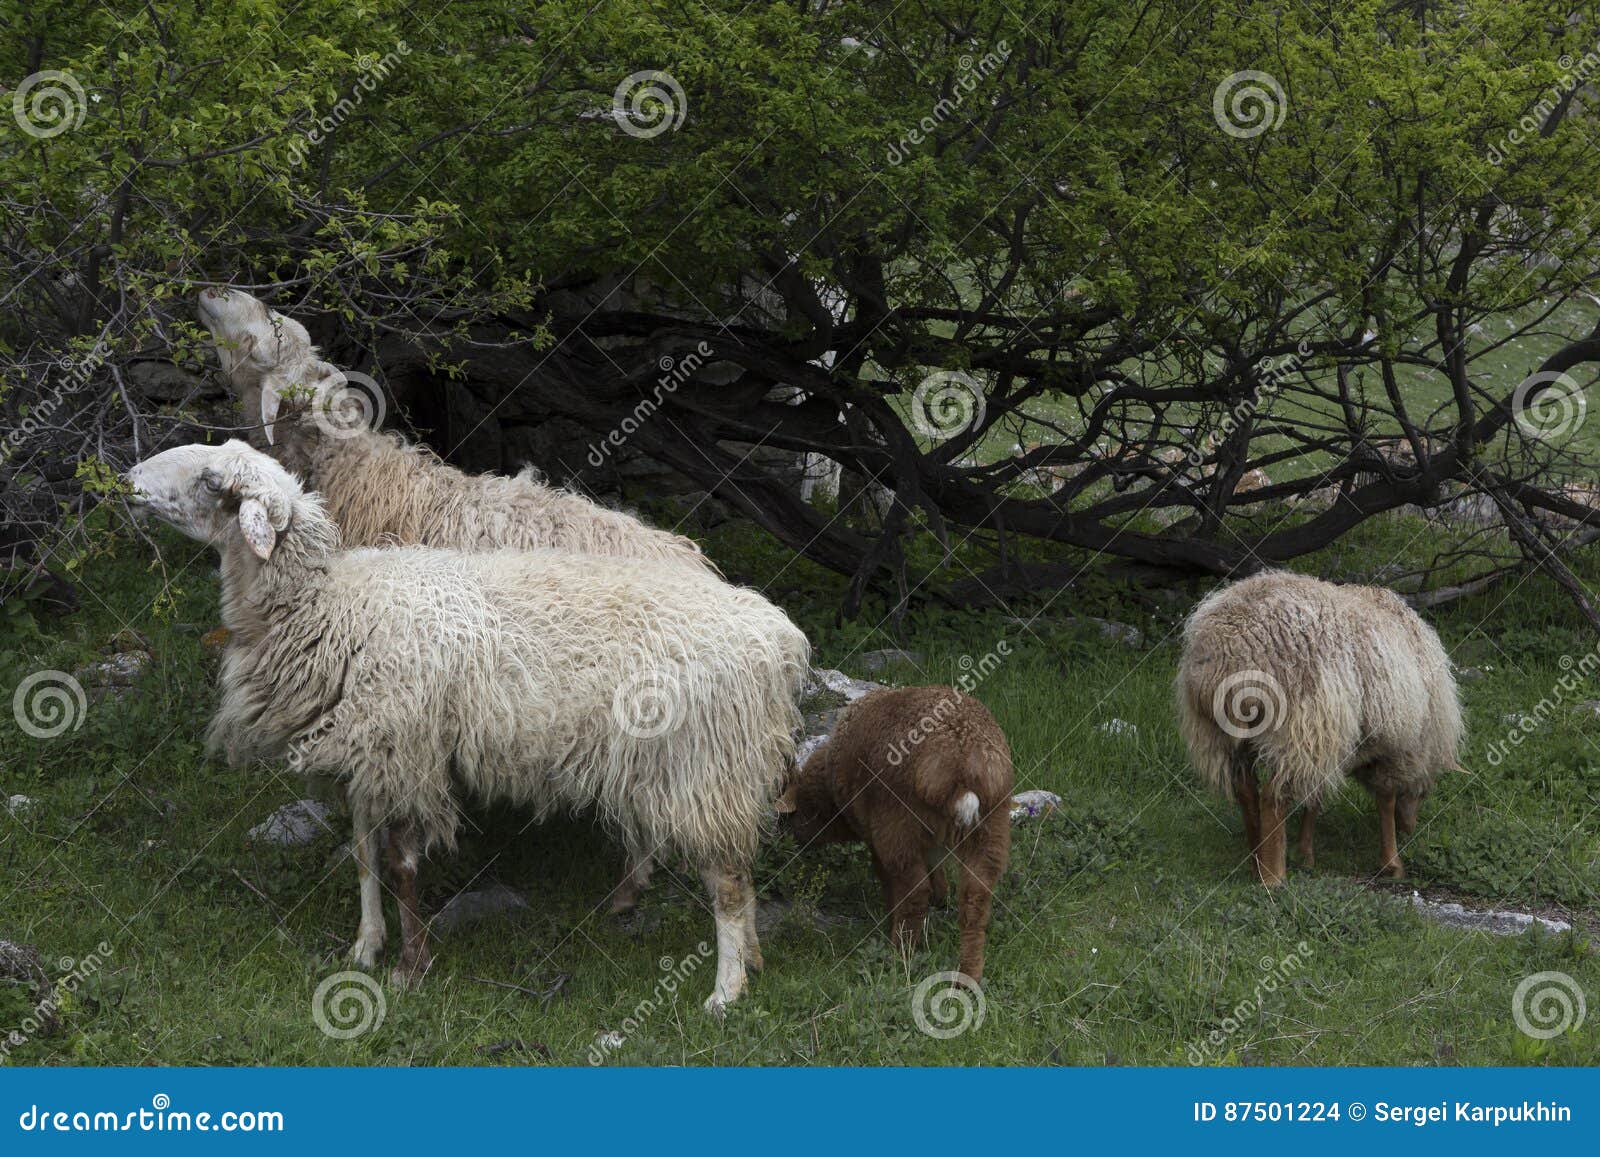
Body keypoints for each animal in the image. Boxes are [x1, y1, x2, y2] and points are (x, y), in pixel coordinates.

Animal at [126, 439, 809, 1011]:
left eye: (211, 480)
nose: (128, 480)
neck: (333, 606)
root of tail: (775, 636)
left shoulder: (405, 749)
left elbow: (401, 864)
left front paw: (410, 967)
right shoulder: (370, 752)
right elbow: (364, 856)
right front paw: (365, 946)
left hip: (702, 764)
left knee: (725, 880)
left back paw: (725, 991)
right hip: (714, 768)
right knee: (738, 864)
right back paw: (748, 956)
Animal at [776, 686, 1012, 983]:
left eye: (799, 812)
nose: (791, 838)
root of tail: (960, 762)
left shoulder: (877, 835)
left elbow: (889, 882)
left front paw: (891, 916)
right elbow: (936, 870)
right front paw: (941, 896)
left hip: (898, 827)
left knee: (915, 893)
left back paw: (900, 951)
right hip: (992, 828)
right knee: (975, 900)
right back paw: (969, 974)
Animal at [1175, 570, 1462, 886]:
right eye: (1424, 793)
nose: (1409, 828)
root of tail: (1230, 651)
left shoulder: (1331, 740)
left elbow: (1315, 797)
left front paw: (1306, 853)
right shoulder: (1393, 744)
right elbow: (1385, 798)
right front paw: (1392, 863)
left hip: (1219, 733)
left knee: (1246, 790)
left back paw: (1256, 862)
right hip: (1296, 726)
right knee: (1272, 796)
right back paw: (1273, 877)